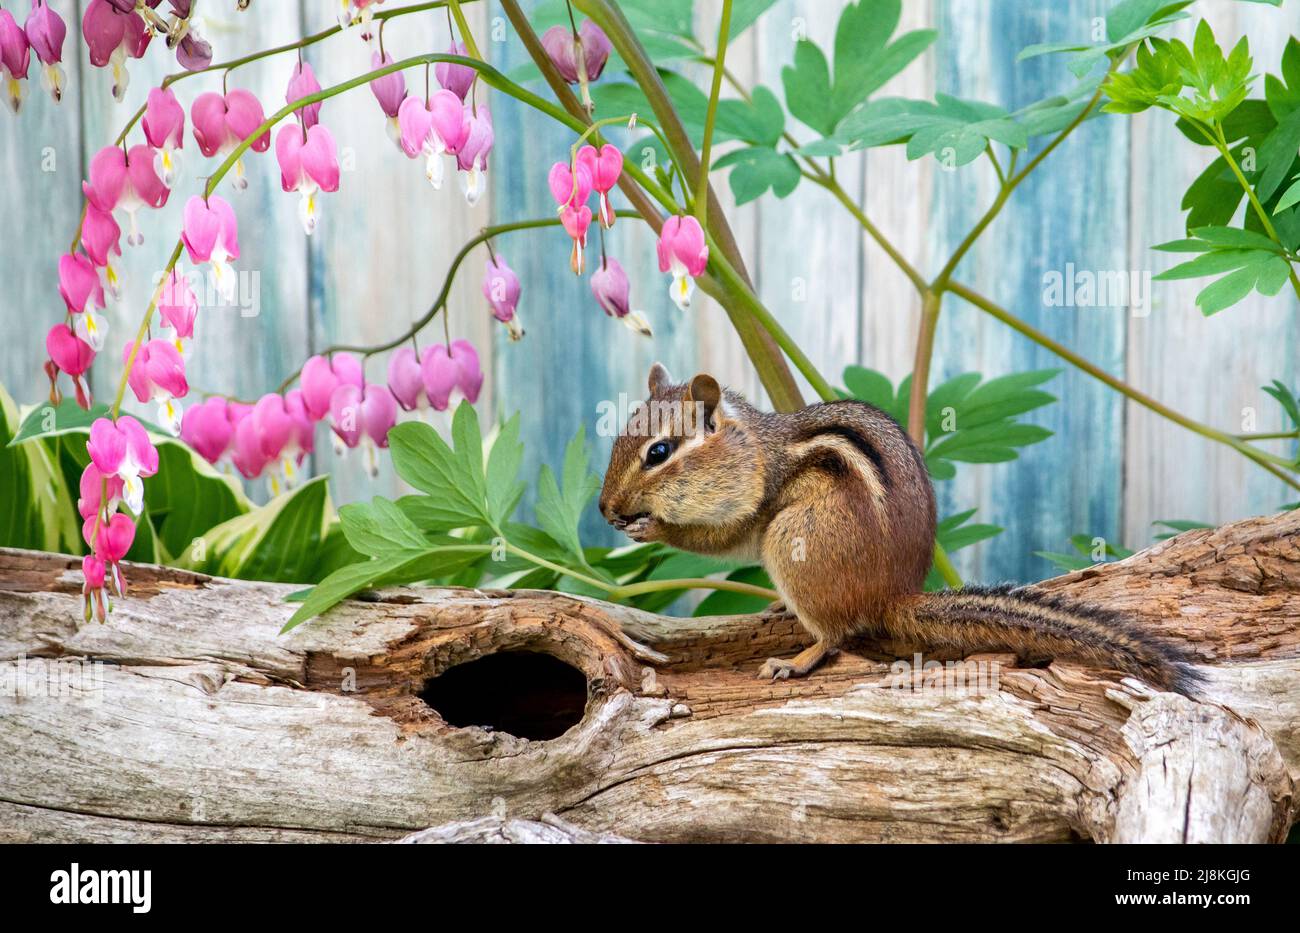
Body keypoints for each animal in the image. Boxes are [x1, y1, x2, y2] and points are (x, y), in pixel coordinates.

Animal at [598, 363, 1202, 695]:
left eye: (659, 452)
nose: (605, 509)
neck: (753, 447)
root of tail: (892, 595)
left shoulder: (754, 501)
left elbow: (719, 538)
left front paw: (652, 528)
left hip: (792, 542)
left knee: (835, 635)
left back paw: (796, 660)